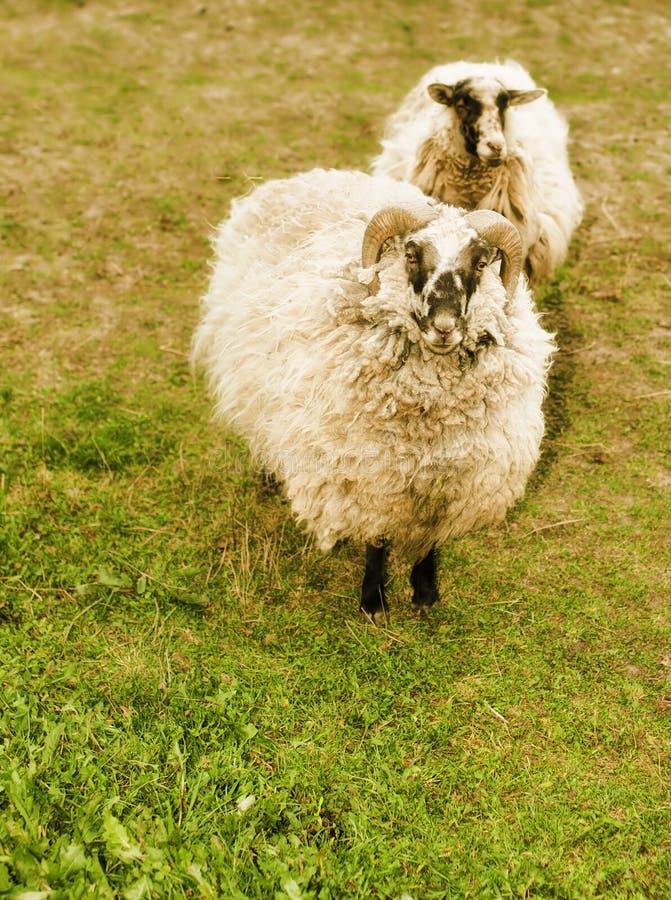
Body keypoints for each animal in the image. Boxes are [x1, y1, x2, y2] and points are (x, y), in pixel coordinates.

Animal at [192, 168, 555, 623]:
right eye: (412, 254)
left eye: (481, 262)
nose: (445, 326)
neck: (432, 416)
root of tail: (296, 179)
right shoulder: (371, 475)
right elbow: (377, 541)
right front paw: (374, 601)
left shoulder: (452, 480)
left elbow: (429, 541)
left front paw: (424, 592)